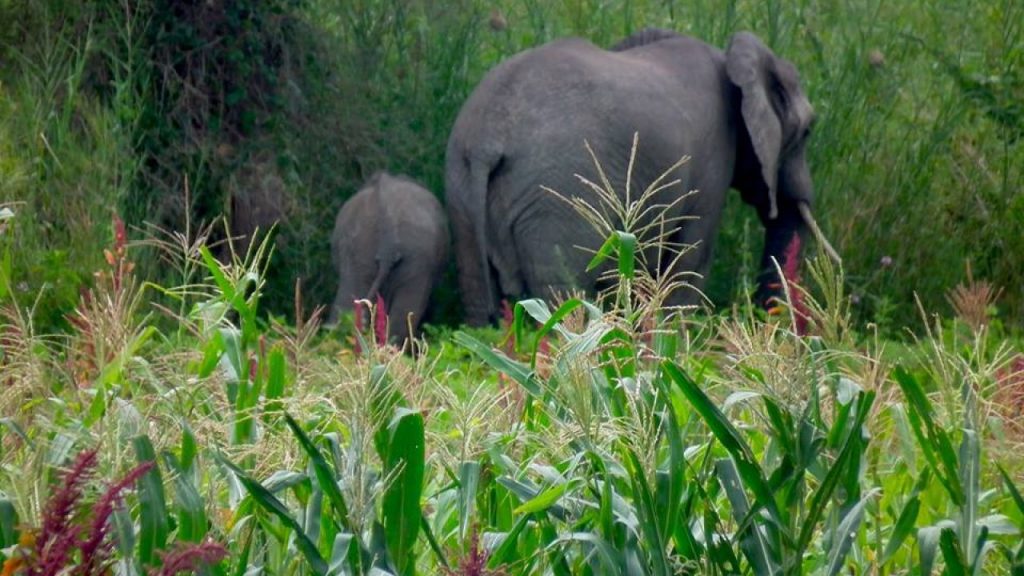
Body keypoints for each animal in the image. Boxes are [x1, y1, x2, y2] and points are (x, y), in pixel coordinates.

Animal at [445, 28, 839, 325]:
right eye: (807, 131)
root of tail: (488, 138)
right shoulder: (713, 157)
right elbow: (690, 257)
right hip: (555, 200)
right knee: (563, 295)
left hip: (462, 188)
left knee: (481, 299)